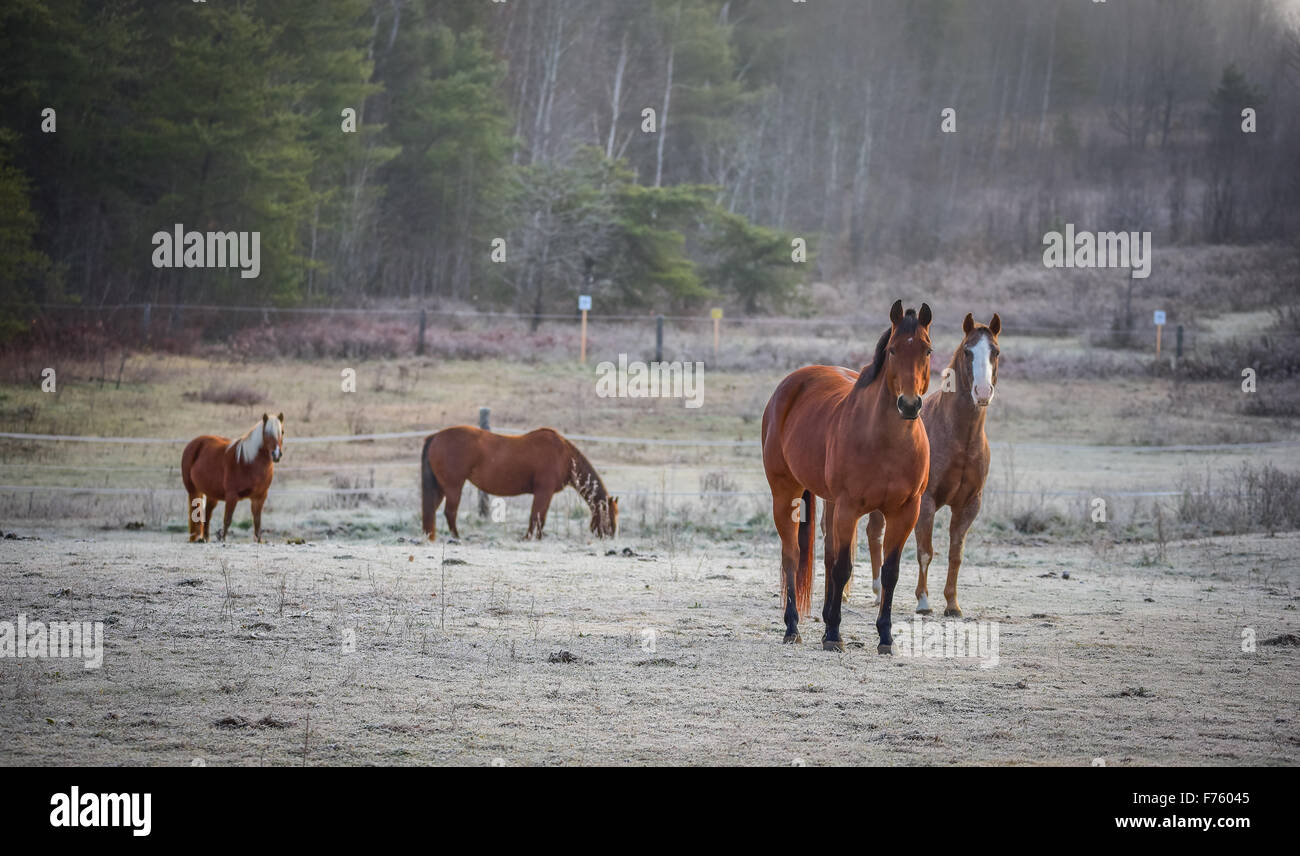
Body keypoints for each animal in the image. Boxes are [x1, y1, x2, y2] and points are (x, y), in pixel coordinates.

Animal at [181, 413, 284, 543]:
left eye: (282, 432)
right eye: (266, 433)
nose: (276, 454)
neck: (247, 461)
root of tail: (193, 444)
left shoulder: (259, 497)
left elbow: (257, 521)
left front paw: (259, 541)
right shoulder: (232, 496)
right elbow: (227, 520)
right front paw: (223, 539)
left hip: (211, 494)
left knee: (207, 515)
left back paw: (205, 539)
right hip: (193, 491)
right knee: (195, 513)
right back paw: (195, 538)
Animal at [420, 426, 618, 541]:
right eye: (610, 513)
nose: (611, 535)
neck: (564, 456)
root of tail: (435, 436)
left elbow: (539, 517)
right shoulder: (543, 492)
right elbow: (537, 517)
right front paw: (530, 538)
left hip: (440, 488)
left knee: (431, 511)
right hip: (453, 487)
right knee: (449, 512)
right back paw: (456, 537)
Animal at [761, 300, 933, 653]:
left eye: (927, 350)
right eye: (893, 350)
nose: (909, 405)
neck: (887, 443)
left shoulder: (905, 511)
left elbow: (890, 572)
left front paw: (885, 637)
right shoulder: (850, 508)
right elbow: (843, 568)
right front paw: (833, 635)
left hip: (829, 503)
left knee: (825, 557)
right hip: (786, 495)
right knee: (792, 556)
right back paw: (792, 627)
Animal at [863, 312, 1001, 618]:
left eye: (995, 352)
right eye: (967, 351)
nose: (982, 391)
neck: (959, 437)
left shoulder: (969, 505)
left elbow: (955, 554)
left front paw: (952, 603)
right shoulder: (925, 501)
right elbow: (925, 551)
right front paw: (924, 601)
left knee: (873, 533)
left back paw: (878, 593)